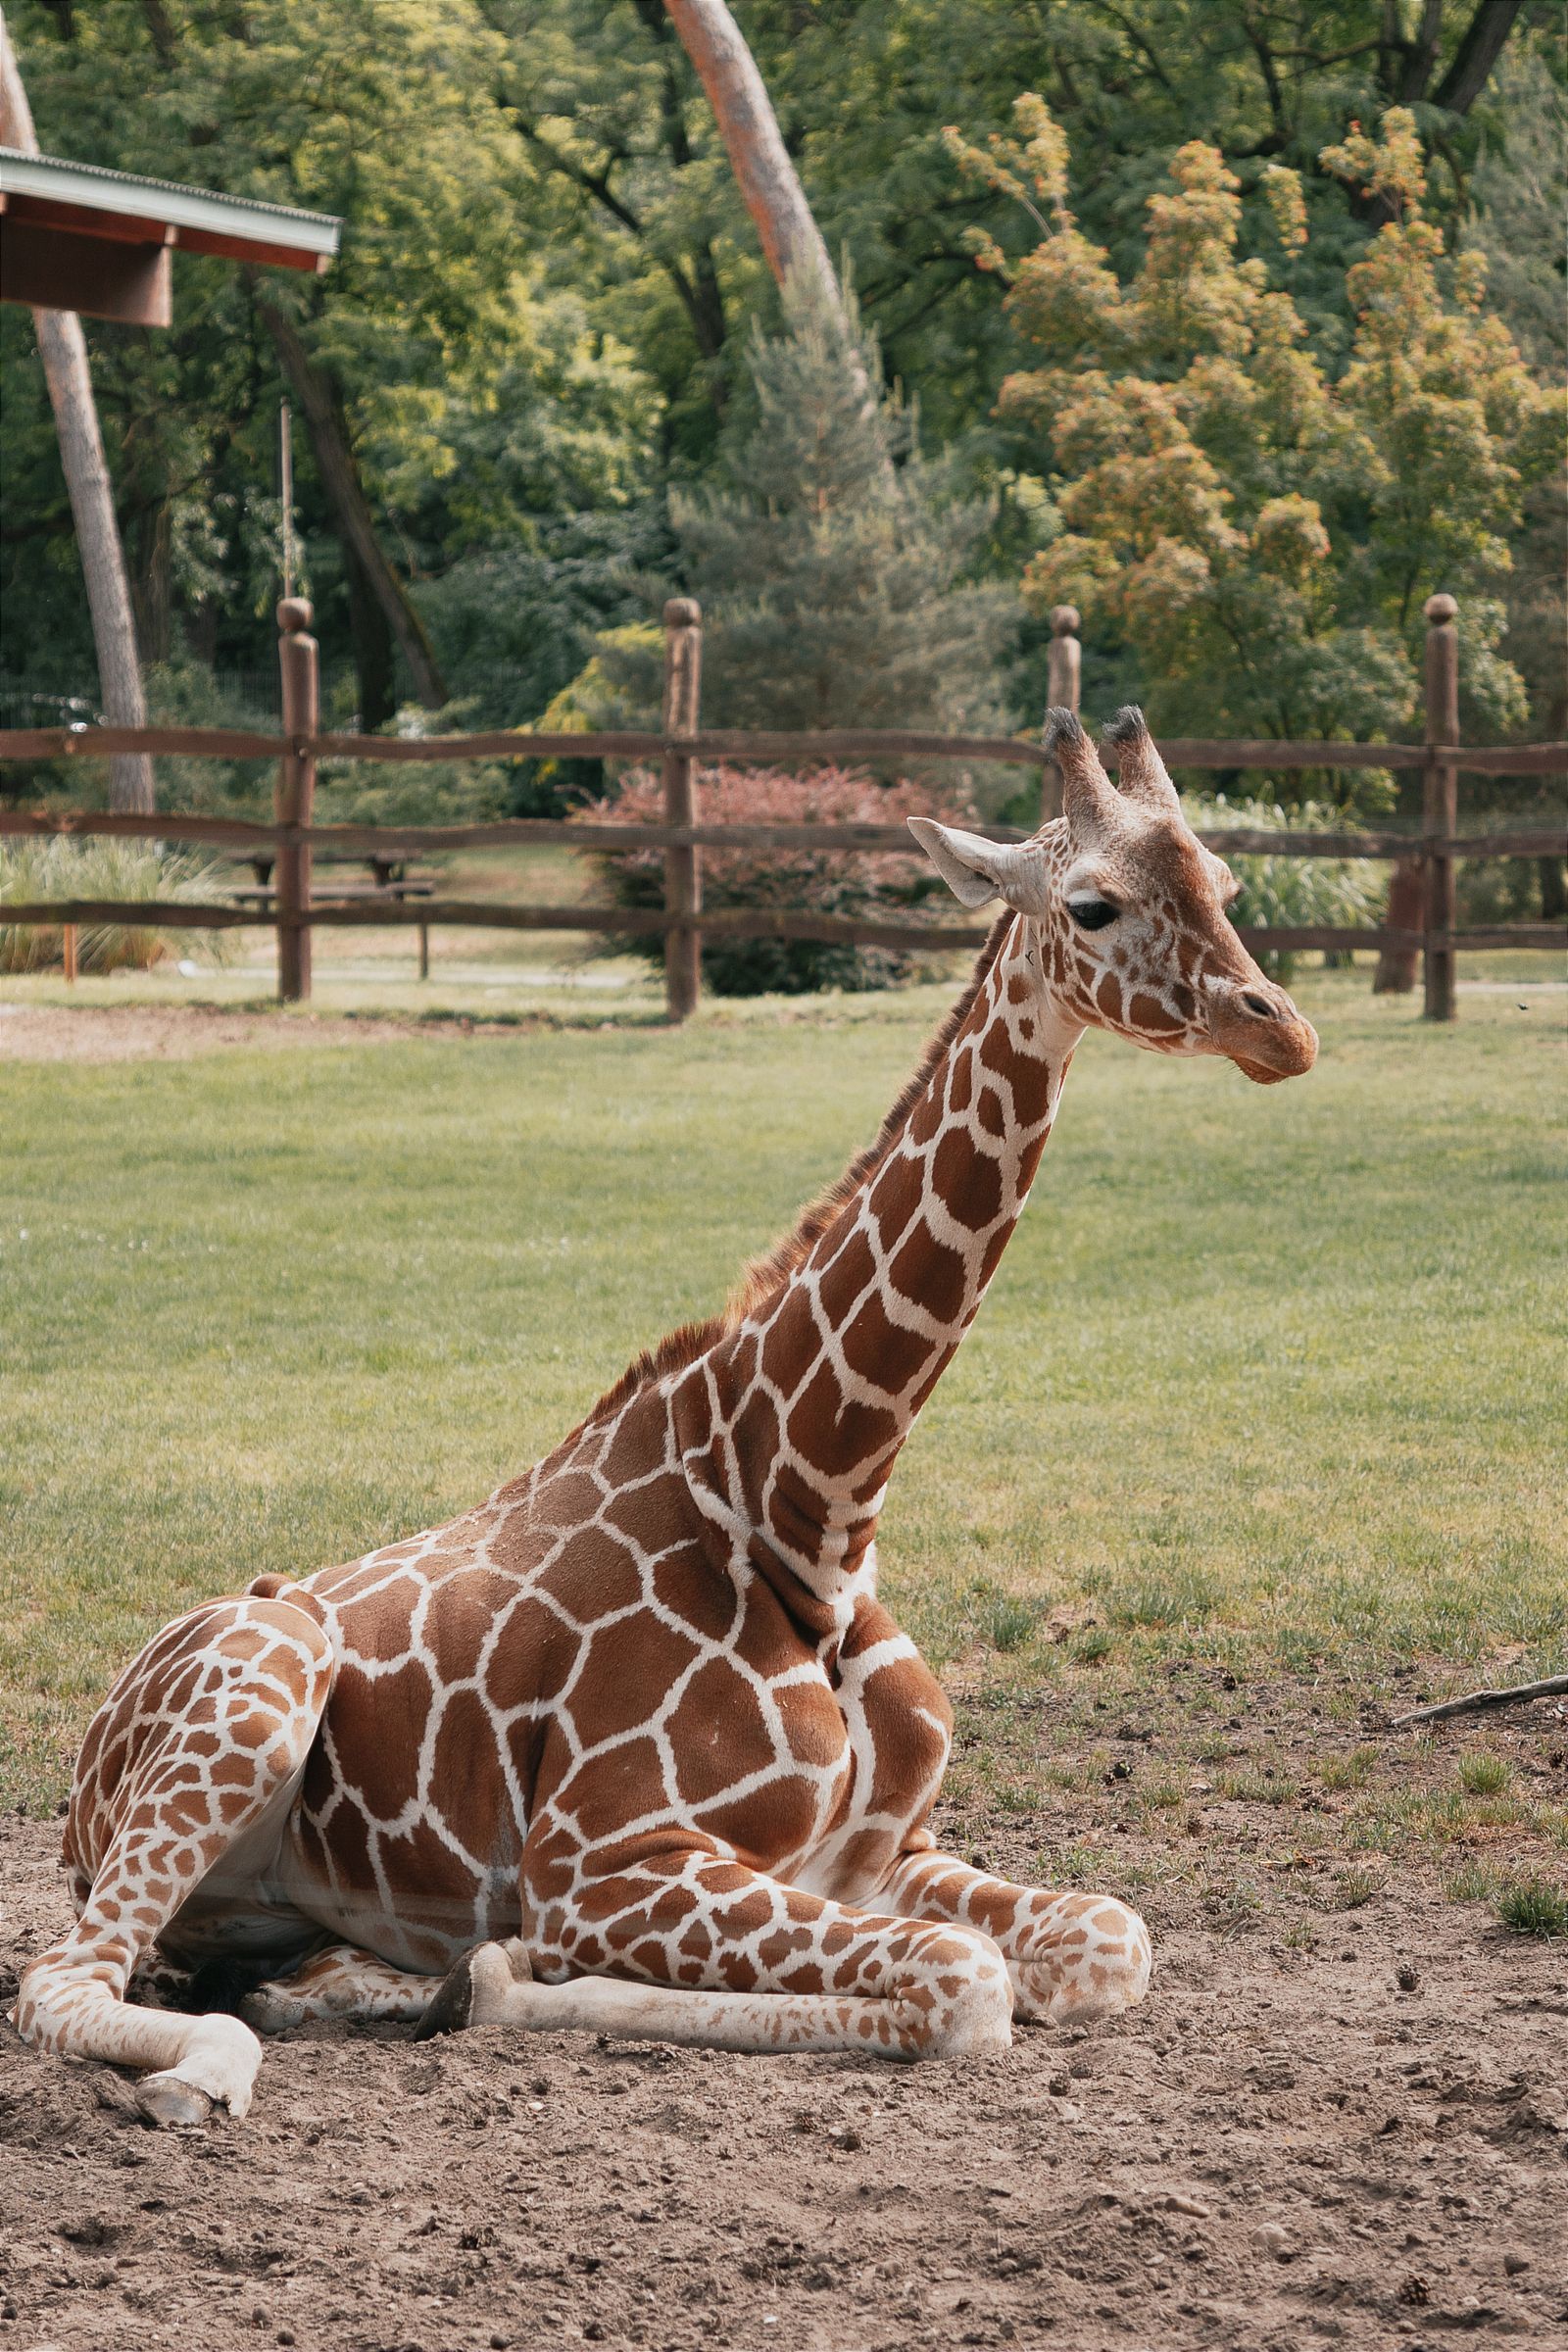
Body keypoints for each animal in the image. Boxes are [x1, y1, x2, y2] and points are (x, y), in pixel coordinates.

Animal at [15, 709, 1317, 2127]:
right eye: (1092, 904)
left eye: (1225, 884)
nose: (1281, 1030)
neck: (810, 1508)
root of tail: (83, 1771)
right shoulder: (603, 1862)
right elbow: (965, 1981)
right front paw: (506, 1979)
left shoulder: (880, 1849)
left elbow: (1113, 1937)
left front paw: (472, 1982)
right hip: (260, 1681)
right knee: (64, 1982)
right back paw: (217, 2066)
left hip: (266, 1898)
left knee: (251, 1972)